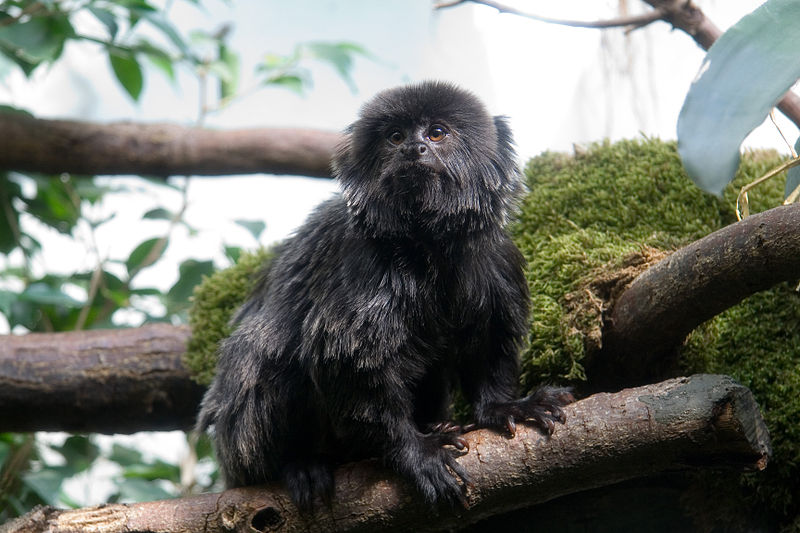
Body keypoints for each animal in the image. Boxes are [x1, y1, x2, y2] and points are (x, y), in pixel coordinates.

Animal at [196, 81, 574, 510]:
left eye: (437, 133)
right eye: (395, 137)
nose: (413, 148)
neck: (428, 245)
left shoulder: (497, 259)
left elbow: (489, 342)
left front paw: (503, 406)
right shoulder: (365, 263)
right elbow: (344, 358)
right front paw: (416, 452)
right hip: (239, 442)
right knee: (263, 351)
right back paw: (298, 463)